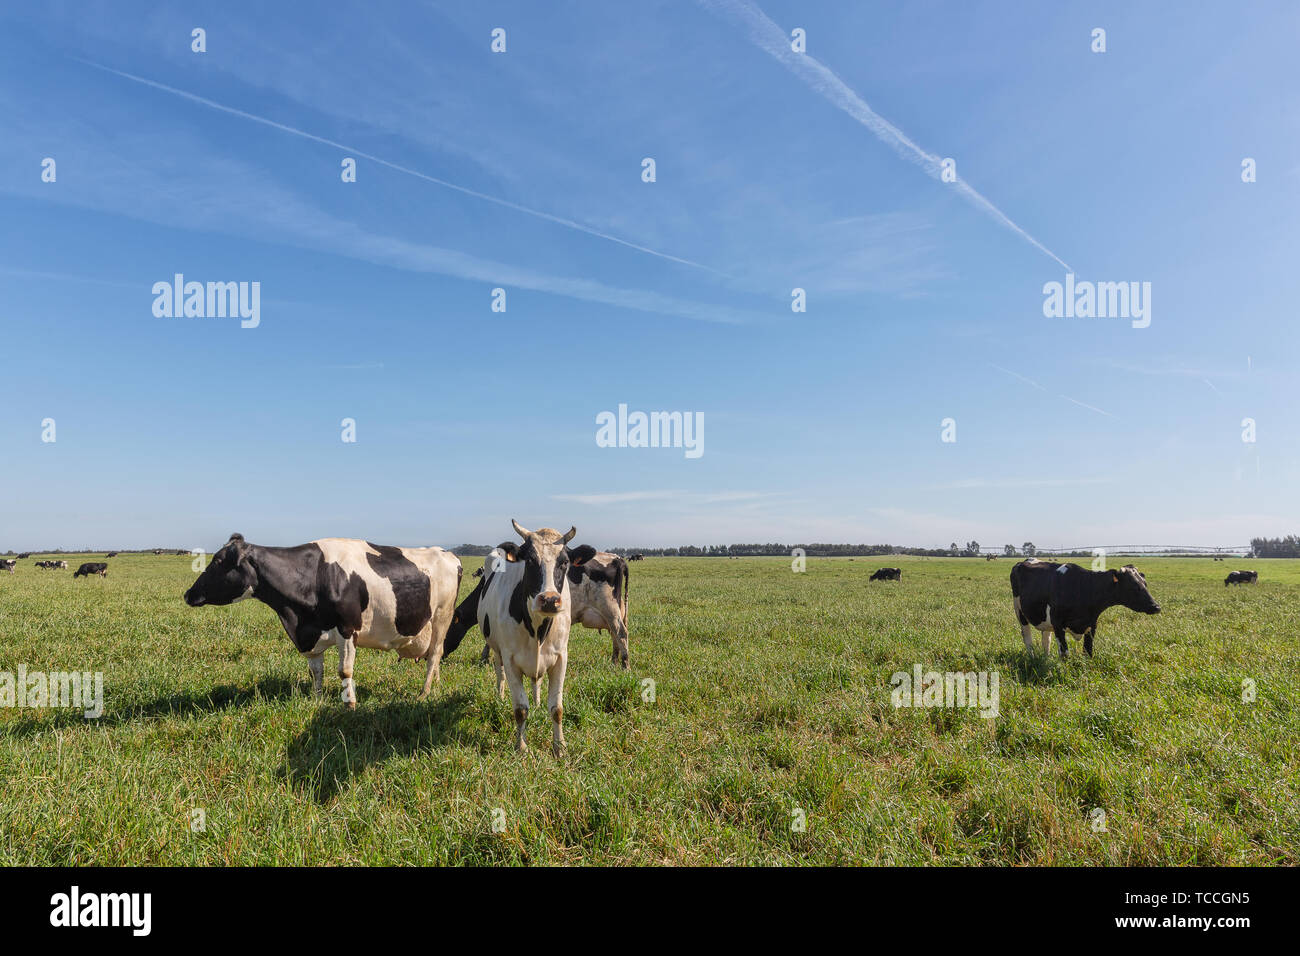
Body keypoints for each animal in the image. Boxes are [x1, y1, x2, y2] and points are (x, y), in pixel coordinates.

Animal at [183, 533, 461, 707]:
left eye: (218, 561)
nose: (188, 594)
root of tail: (448, 554)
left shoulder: (348, 629)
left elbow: (344, 670)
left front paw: (350, 703)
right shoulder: (310, 634)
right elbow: (316, 672)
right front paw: (317, 701)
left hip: (442, 615)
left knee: (435, 653)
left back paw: (424, 693)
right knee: (434, 655)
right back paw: (435, 684)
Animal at [469, 520, 577, 757]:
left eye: (564, 562)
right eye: (529, 560)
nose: (549, 600)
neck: (537, 629)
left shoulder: (560, 657)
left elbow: (556, 708)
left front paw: (560, 747)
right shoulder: (510, 659)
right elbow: (520, 709)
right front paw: (522, 747)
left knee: (537, 681)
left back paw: (537, 701)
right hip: (497, 650)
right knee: (499, 673)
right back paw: (500, 696)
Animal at [1010, 558, 1161, 658]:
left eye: (1145, 584)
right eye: (1134, 586)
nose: (1156, 606)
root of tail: (1024, 561)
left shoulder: (1092, 625)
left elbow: (1088, 652)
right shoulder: (1058, 624)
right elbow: (1065, 654)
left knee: (1046, 638)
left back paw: (1046, 658)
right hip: (1019, 611)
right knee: (1027, 637)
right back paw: (1032, 657)